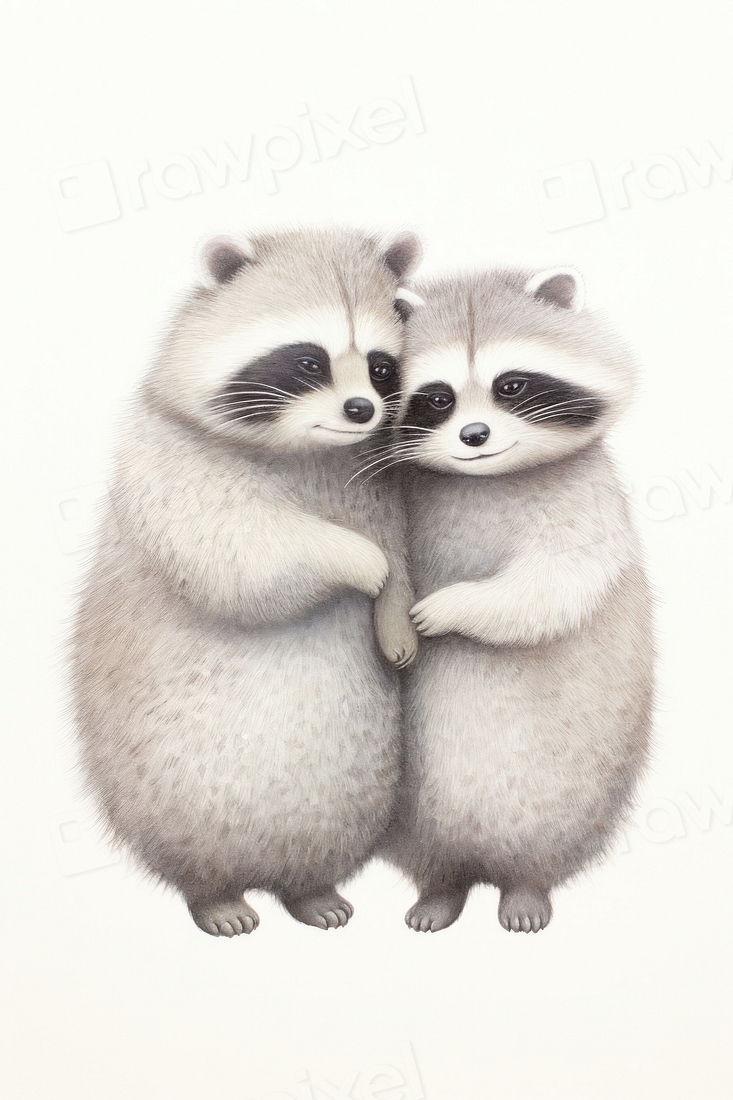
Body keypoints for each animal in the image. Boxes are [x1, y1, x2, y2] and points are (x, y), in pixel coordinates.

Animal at [73, 227, 421, 935]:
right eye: (310, 362)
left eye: (381, 367)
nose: (362, 409)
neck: (312, 449)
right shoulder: (170, 459)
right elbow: (244, 555)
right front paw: (360, 561)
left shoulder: (379, 482)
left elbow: (399, 551)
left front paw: (394, 609)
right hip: (161, 789)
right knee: (191, 845)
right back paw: (215, 896)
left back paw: (311, 891)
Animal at [383, 267, 654, 933]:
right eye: (438, 398)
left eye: (510, 385)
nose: (474, 435)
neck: (484, 477)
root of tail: (481, 858)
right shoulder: (403, 491)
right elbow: (384, 560)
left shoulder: (586, 498)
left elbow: (554, 583)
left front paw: (453, 606)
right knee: (434, 855)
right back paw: (439, 890)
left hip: (575, 793)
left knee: (544, 842)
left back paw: (526, 888)